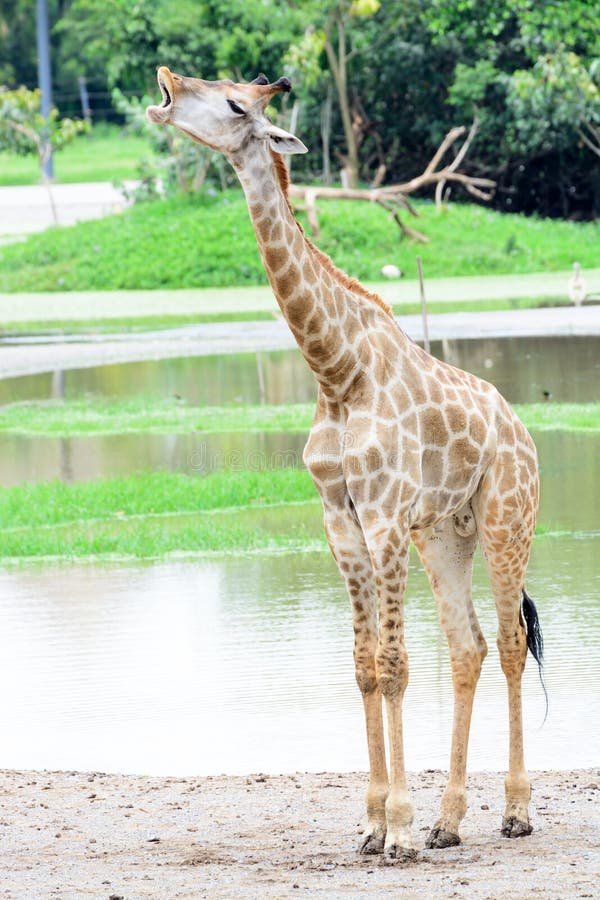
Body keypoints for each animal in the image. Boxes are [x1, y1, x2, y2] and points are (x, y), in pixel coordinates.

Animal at [147, 68, 544, 862]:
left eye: (235, 103)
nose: (168, 80)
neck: (335, 371)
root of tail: (522, 432)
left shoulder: (385, 516)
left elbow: (393, 666)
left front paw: (398, 831)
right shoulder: (341, 521)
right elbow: (363, 667)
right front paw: (372, 824)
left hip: (505, 519)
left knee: (512, 643)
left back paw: (514, 813)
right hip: (444, 533)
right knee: (469, 647)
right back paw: (450, 822)